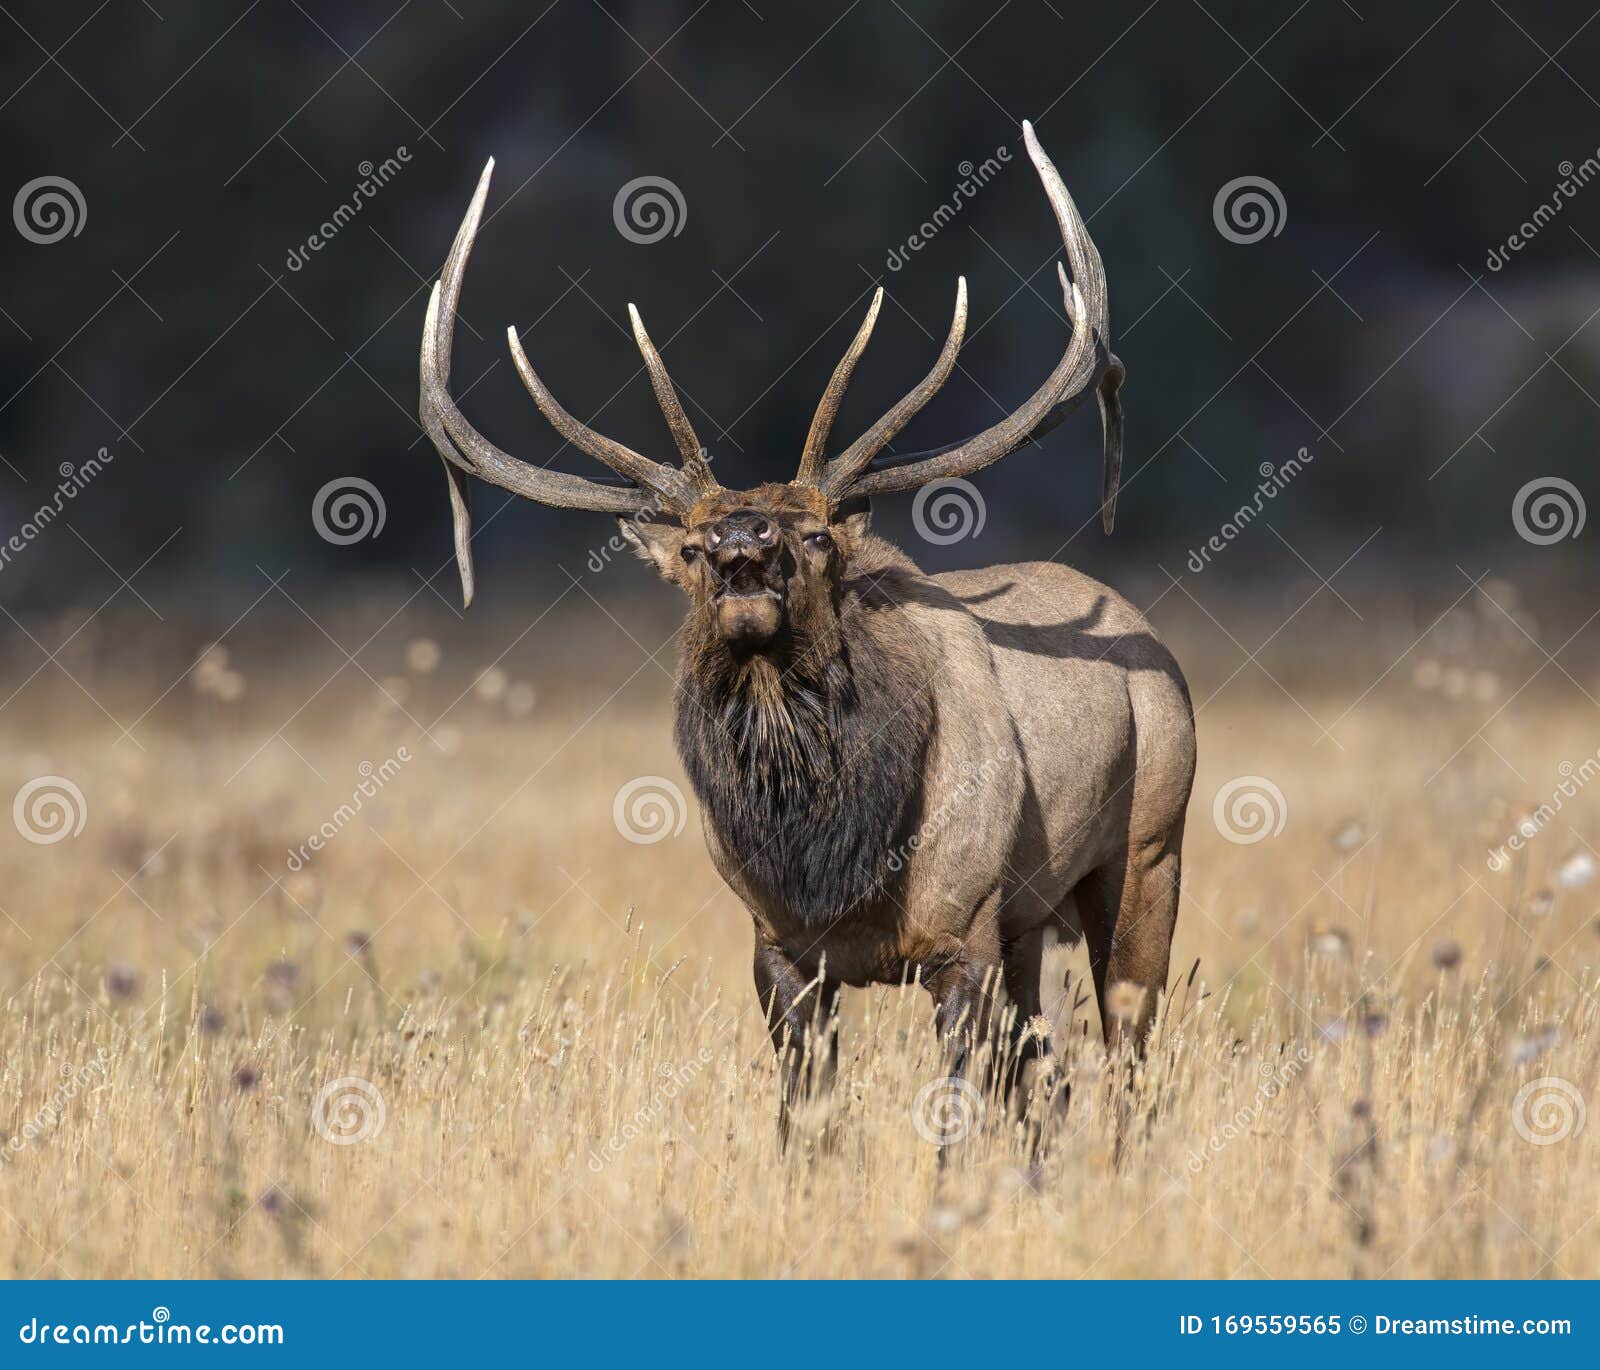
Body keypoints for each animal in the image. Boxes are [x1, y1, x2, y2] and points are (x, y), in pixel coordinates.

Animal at [419, 122, 1196, 1144]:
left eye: (819, 534)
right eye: (695, 548)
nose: (744, 548)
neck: (832, 855)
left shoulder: (964, 931)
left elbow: (956, 1116)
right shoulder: (780, 948)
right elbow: (808, 1120)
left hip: (1148, 852)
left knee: (1127, 1059)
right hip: (1032, 923)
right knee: (1045, 1075)